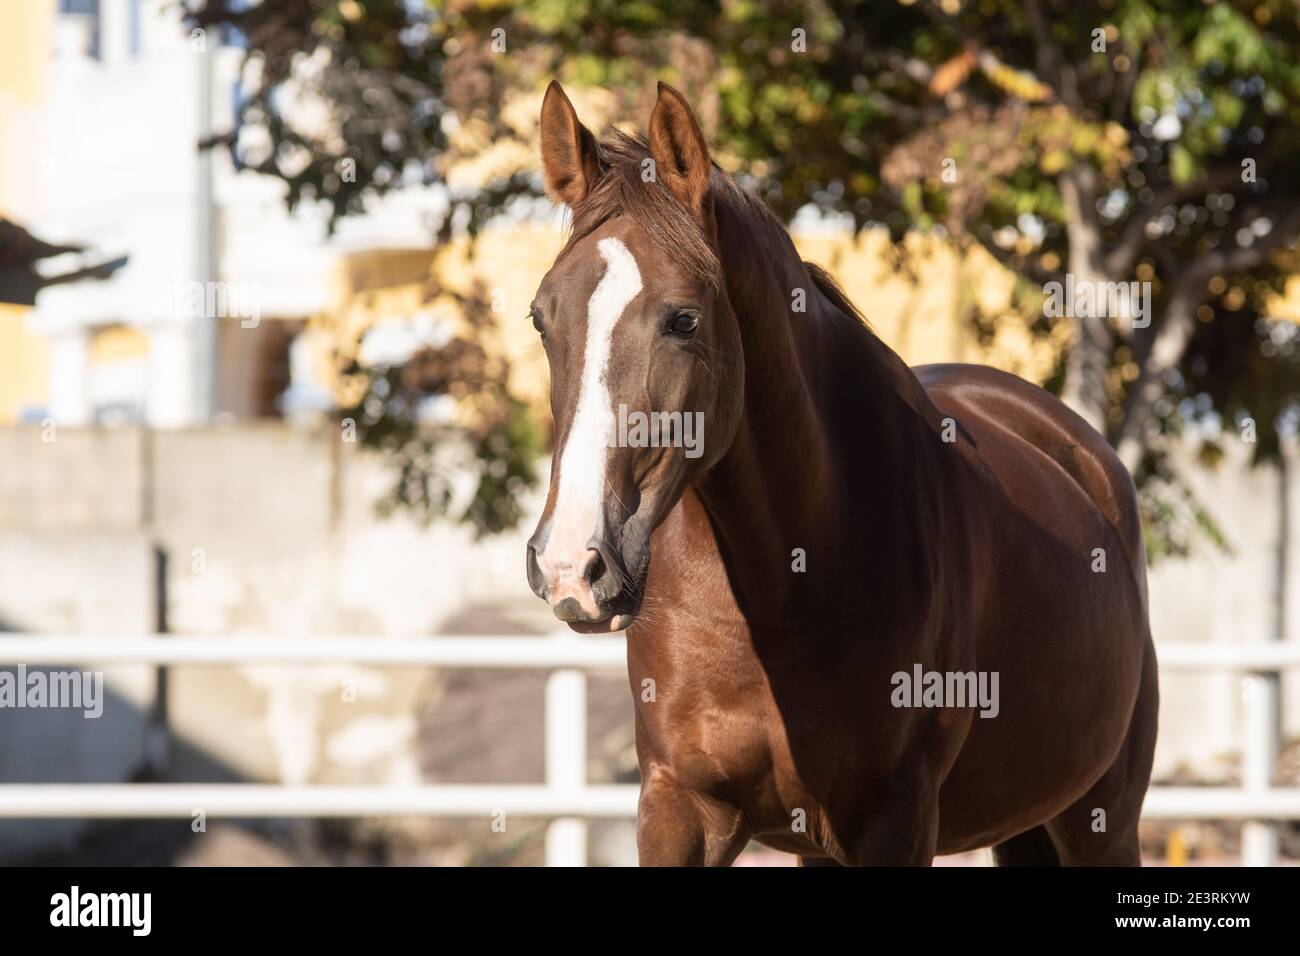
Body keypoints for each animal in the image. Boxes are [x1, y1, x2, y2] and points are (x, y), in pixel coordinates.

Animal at [524, 80, 1158, 866]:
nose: (571, 565)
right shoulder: (681, 807)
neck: (781, 586)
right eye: (541, 319)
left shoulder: (895, 819)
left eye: (683, 320)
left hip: (1101, 819)